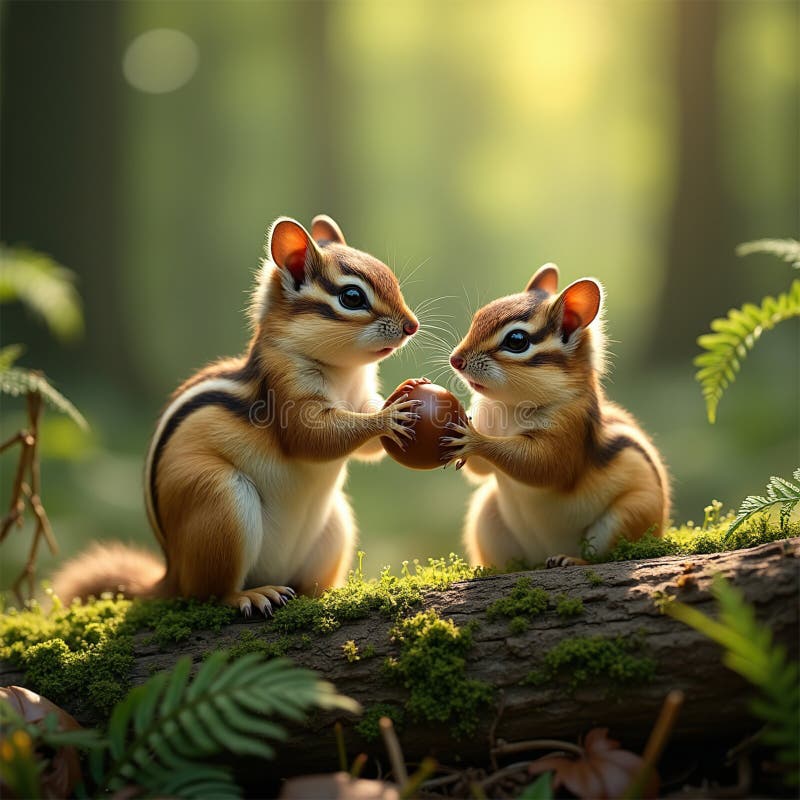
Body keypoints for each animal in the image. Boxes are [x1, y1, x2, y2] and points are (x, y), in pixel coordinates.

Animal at [54, 215, 423, 615]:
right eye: (352, 297)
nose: (412, 325)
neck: (345, 372)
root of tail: (172, 574)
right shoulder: (285, 388)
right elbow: (312, 438)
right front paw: (389, 417)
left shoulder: (360, 394)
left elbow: (365, 443)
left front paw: (403, 392)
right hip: (219, 502)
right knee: (210, 593)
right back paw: (251, 595)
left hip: (336, 524)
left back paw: (327, 593)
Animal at [440, 263, 670, 568]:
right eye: (479, 316)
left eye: (516, 340)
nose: (455, 359)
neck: (506, 407)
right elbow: (482, 471)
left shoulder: (570, 427)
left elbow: (543, 465)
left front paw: (473, 439)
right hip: (485, 514)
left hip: (631, 513)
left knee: (601, 556)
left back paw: (570, 559)